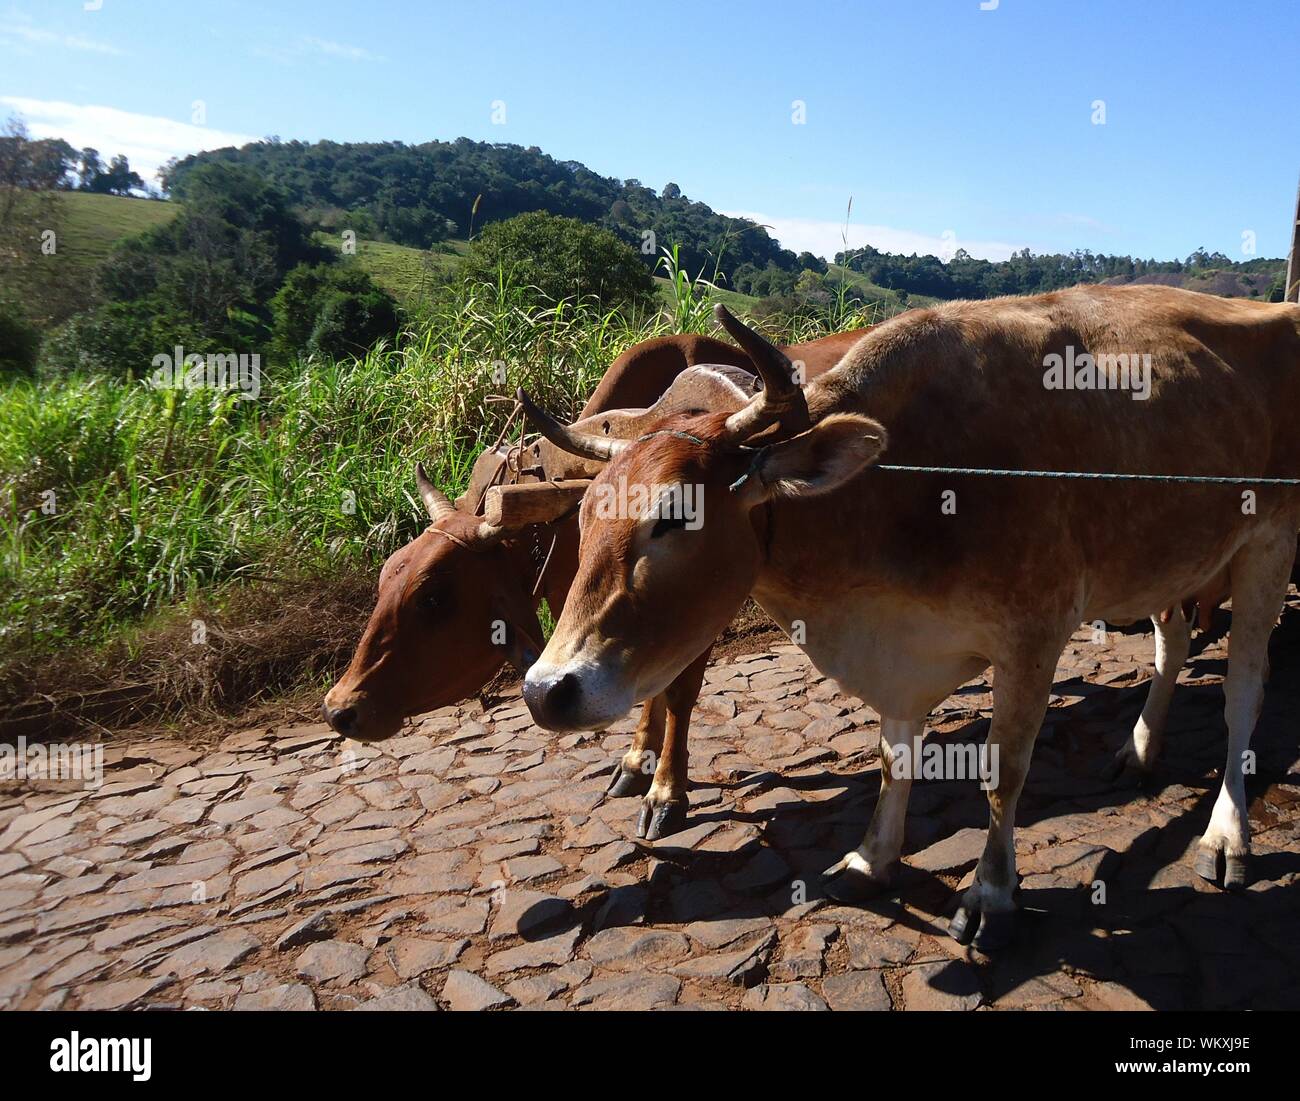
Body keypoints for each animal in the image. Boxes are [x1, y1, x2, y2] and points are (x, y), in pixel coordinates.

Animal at [322, 324, 869, 839]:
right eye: (385, 579)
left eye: (433, 597)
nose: (339, 709)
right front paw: (634, 764)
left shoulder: (703, 605)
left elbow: (679, 691)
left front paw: (666, 792)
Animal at [519, 288, 1300, 949]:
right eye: (583, 515)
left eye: (676, 514)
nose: (544, 690)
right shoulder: (901, 649)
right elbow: (895, 755)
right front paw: (871, 858)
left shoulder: (1033, 633)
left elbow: (1004, 773)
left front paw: (990, 895)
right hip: (1172, 555)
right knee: (1175, 641)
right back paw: (1139, 750)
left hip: (1268, 543)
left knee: (1244, 692)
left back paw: (1226, 834)